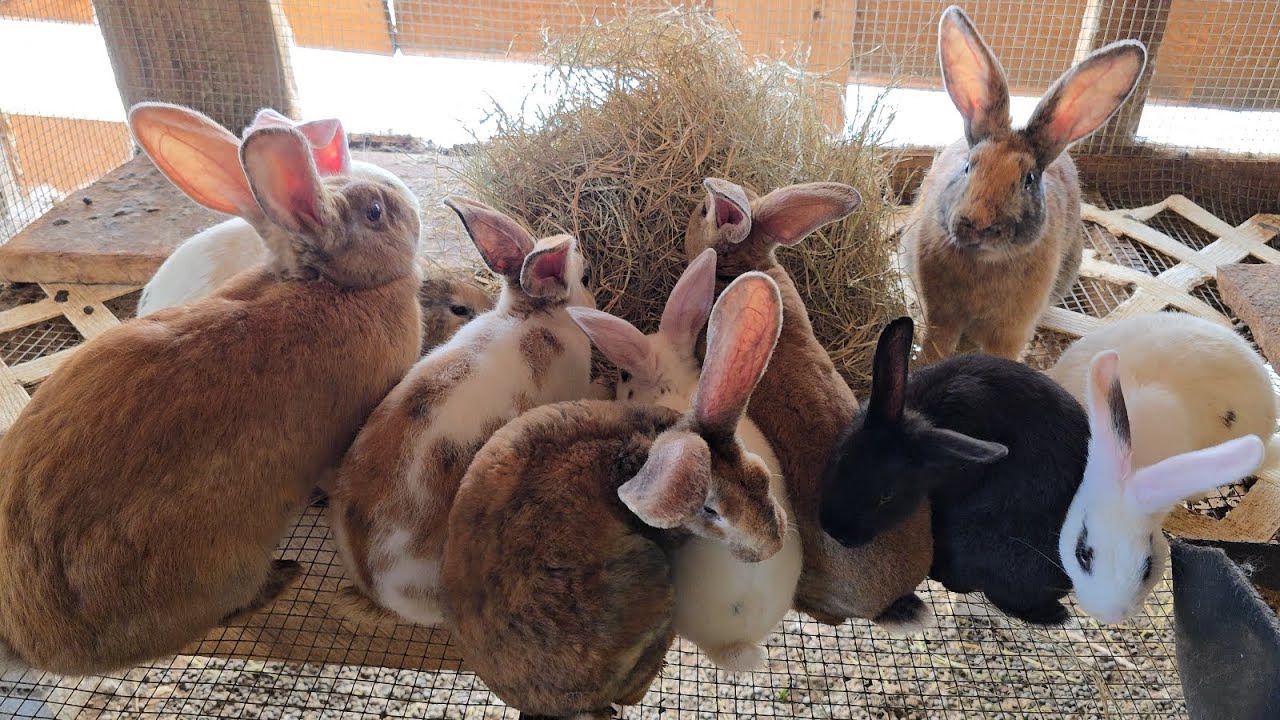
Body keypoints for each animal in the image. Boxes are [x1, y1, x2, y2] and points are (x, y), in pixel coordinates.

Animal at [904, 6, 1147, 363]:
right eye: (968, 166)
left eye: (1028, 180)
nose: (978, 225)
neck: (984, 262)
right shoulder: (939, 318)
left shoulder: (1010, 332)